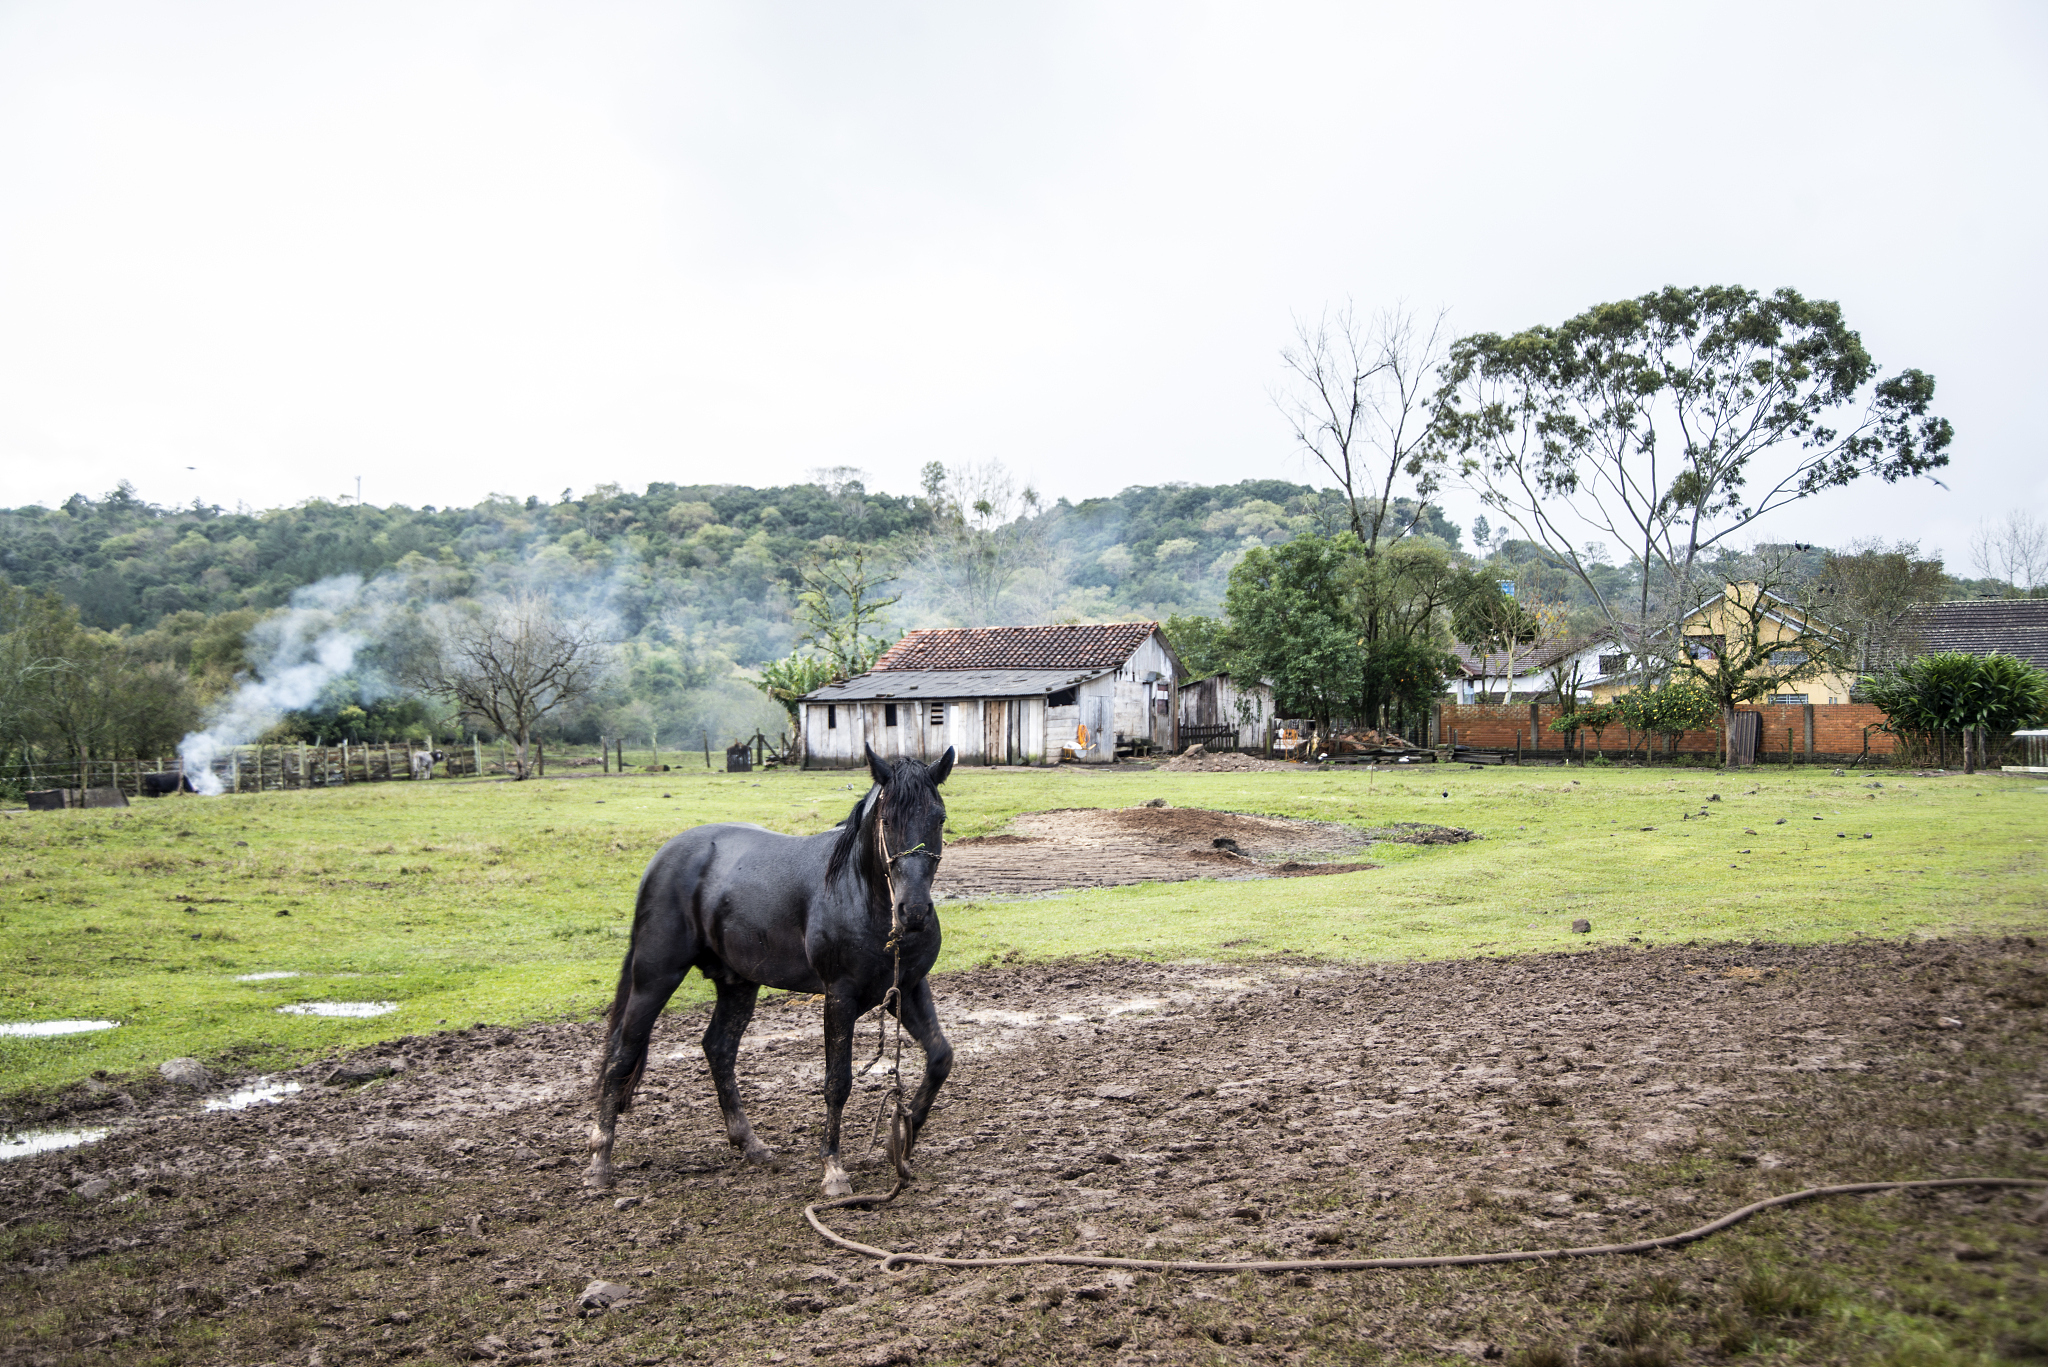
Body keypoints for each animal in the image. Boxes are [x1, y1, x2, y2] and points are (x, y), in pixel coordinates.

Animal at [588, 743, 955, 1197]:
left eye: (939, 818)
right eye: (887, 820)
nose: (915, 912)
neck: (859, 893)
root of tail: (663, 858)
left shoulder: (907, 987)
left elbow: (940, 1057)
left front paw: (901, 1141)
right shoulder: (840, 996)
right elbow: (837, 1082)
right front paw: (833, 1169)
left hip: (737, 983)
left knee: (718, 1049)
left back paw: (750, 1143)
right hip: (655, 977)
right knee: (622, 1054)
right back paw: (600, 1161)